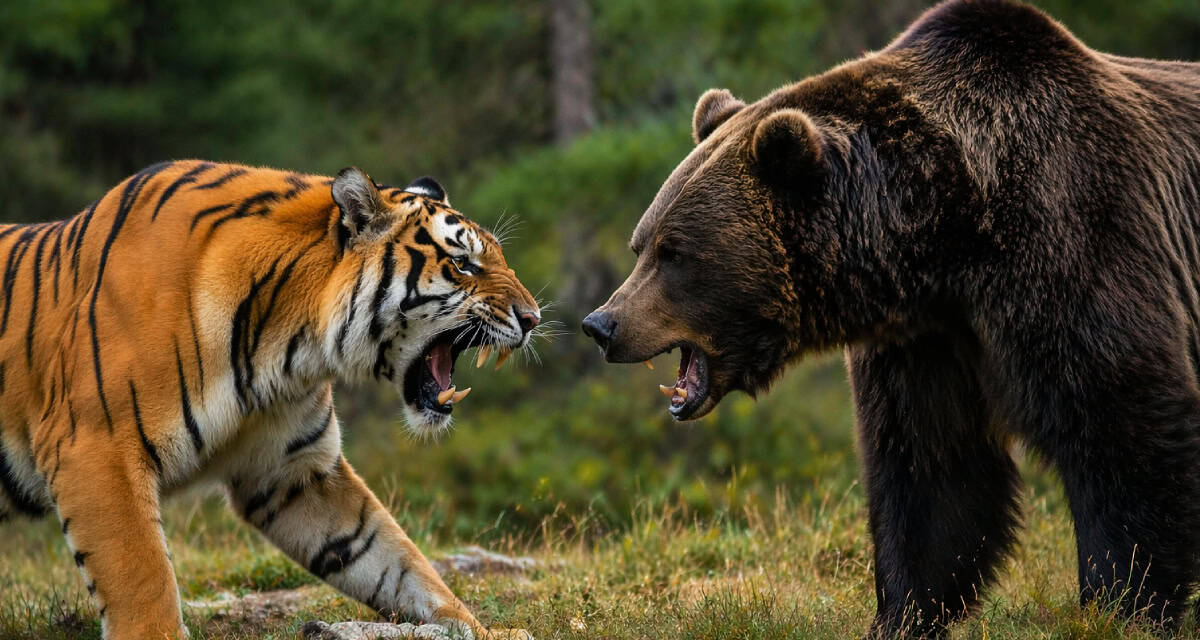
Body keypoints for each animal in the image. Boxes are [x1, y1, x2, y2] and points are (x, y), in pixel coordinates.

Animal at [0, 160, 540, 640]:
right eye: (462, 263)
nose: (534, 318)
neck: (287, 348)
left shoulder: (295, 472)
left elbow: (393, 557)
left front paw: (483, 630)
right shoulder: (96, 450)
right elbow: (140, 574)